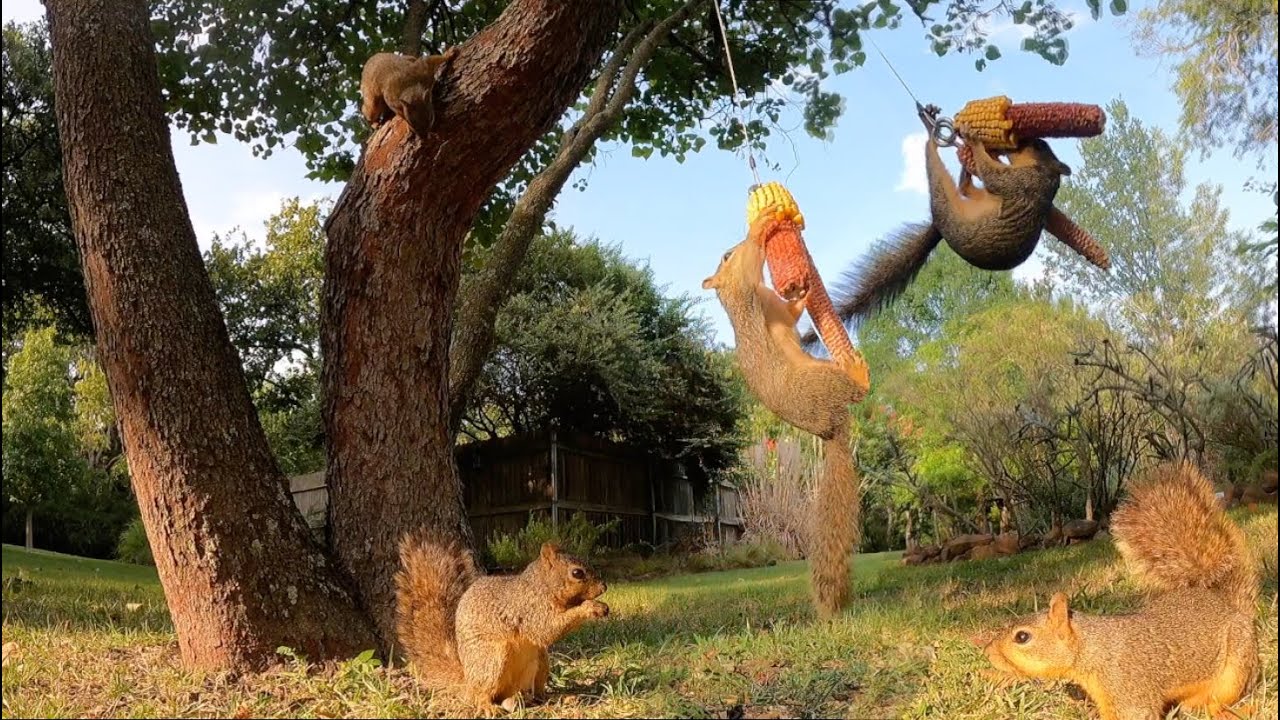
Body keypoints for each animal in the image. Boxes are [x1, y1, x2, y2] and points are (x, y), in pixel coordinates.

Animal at [396, 539, 609, 714]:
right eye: (577, 573)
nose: (604, 587)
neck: (540, 586)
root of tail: (467, 682)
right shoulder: (529, 610)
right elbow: (546, 629)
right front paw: (590, 607)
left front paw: (601, 607)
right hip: (492, 659)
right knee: (482, 693)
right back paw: (487, 706)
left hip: (541, 660)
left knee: (533, 694)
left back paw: (556, 698)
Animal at [703, 218, 864, 616]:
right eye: (727, 256)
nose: (747, 238)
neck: (743, 295)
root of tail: (830, 428)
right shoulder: (756, 300)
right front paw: (765, 229)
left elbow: (792, 313)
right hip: (825, 379)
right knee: (858, 391)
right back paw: (859, 371)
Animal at [983, 461, 1260, 720]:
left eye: (1022, 636)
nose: (988, 653)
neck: (1092, 648)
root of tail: (1226, 602)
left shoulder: (1126, 685)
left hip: (1235, 666)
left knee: (1217, 703)